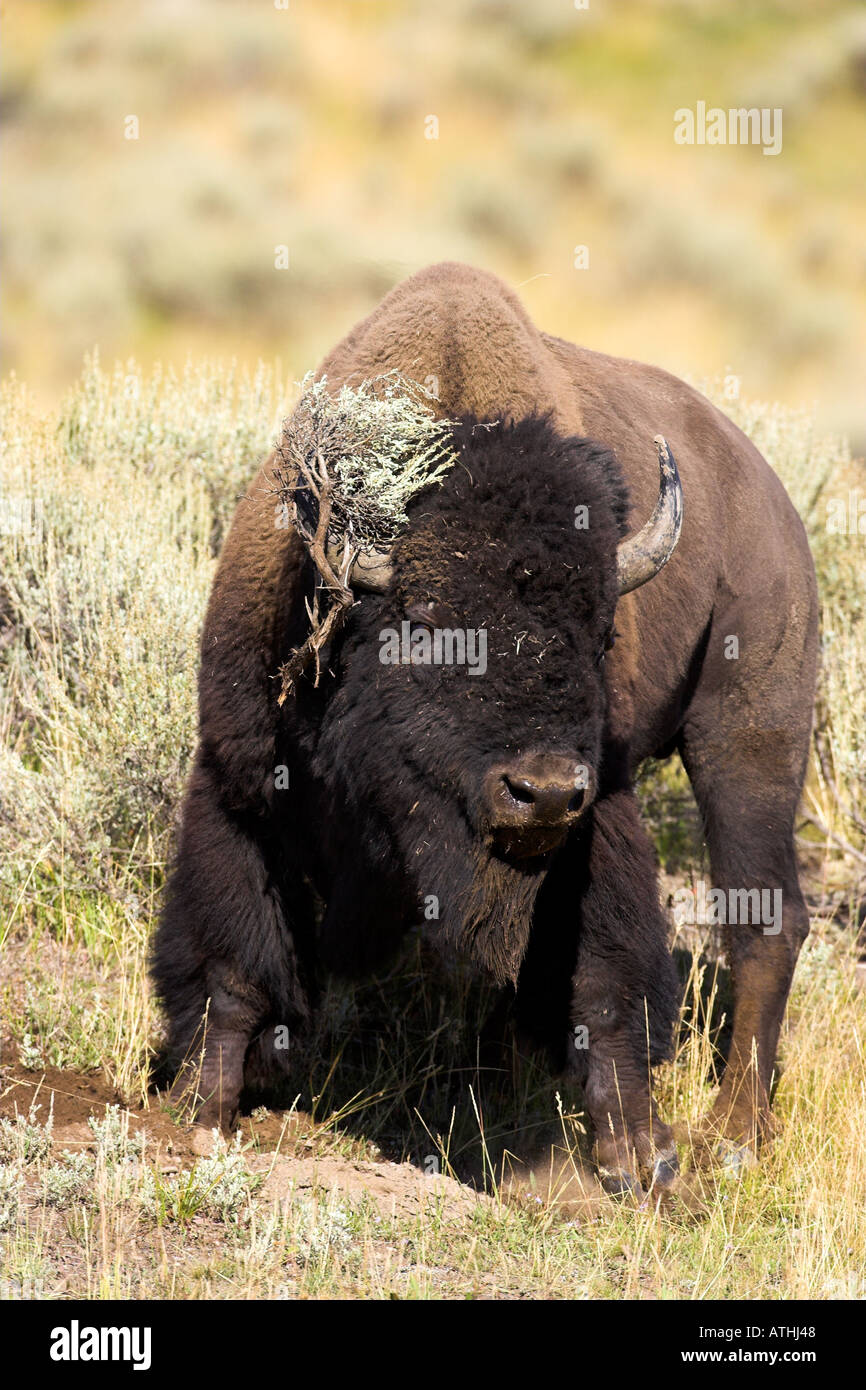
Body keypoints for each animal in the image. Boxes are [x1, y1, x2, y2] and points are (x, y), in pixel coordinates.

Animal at [151, 262, 818, 1197]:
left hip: (750, 736)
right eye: (430, 627)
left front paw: (637, 1156)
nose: (542, 791)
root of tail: (773, 500)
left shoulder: (598, 818)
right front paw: (199, 1115)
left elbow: (605, 981)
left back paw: (732, 1133)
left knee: (765, 920)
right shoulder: (239, 786)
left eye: (599, 632)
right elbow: (235, 969)